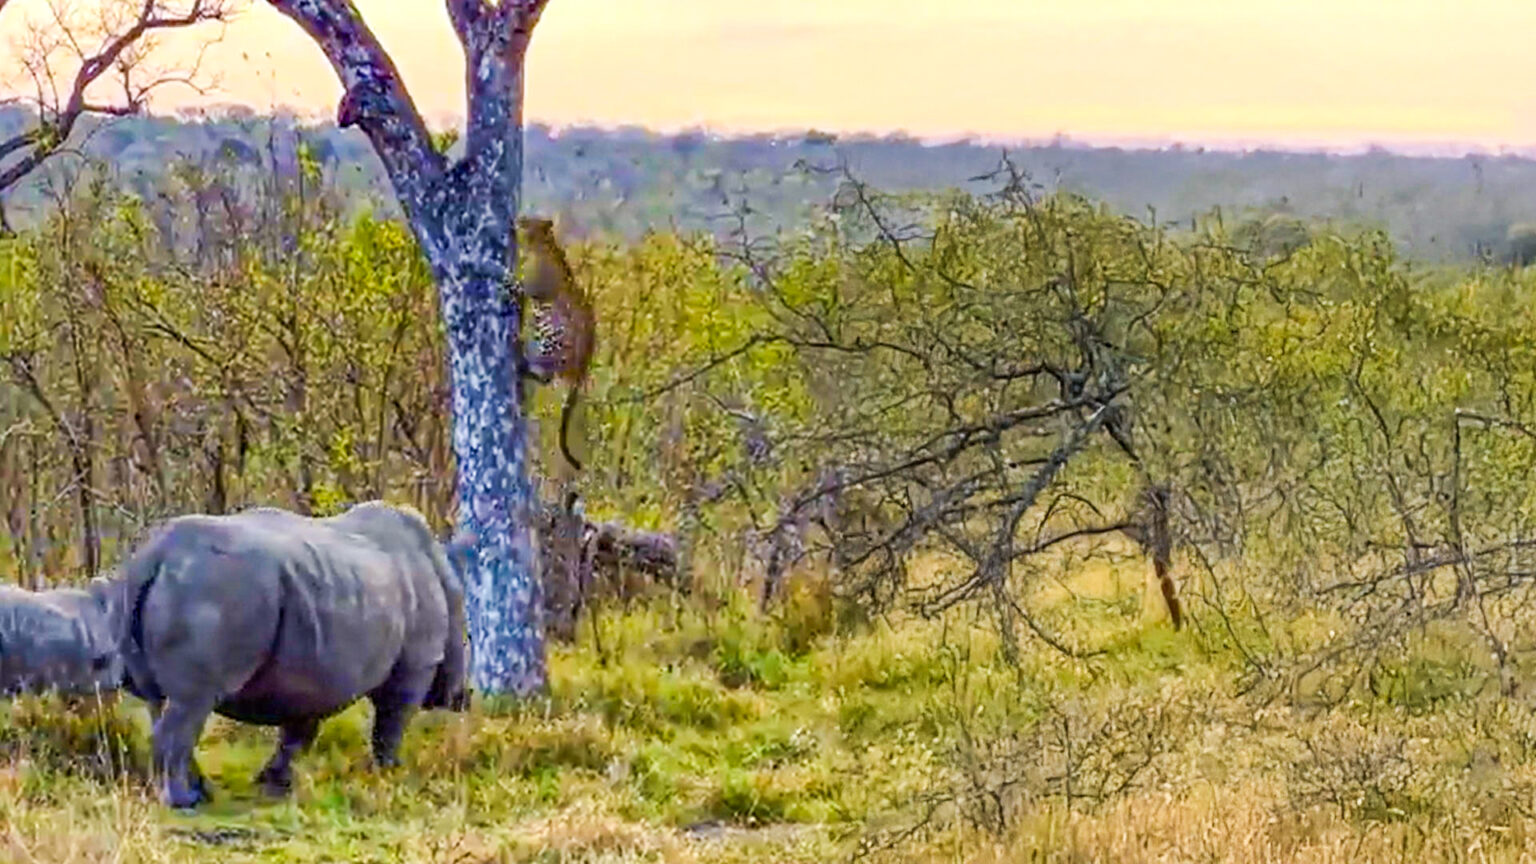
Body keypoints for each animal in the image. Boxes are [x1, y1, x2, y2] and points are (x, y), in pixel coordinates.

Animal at [110, 500, 472, 809]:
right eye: (466, 642)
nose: (464, 698)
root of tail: (155, 554)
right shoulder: (416, 662)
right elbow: (392, 722)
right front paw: (391, 773)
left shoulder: (312, 669)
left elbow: (299, 730)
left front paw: (274, 783)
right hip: (211, 589)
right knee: (192, 702)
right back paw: (182, 802)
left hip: (177, 590)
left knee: (161, 701)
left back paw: (200, 794)